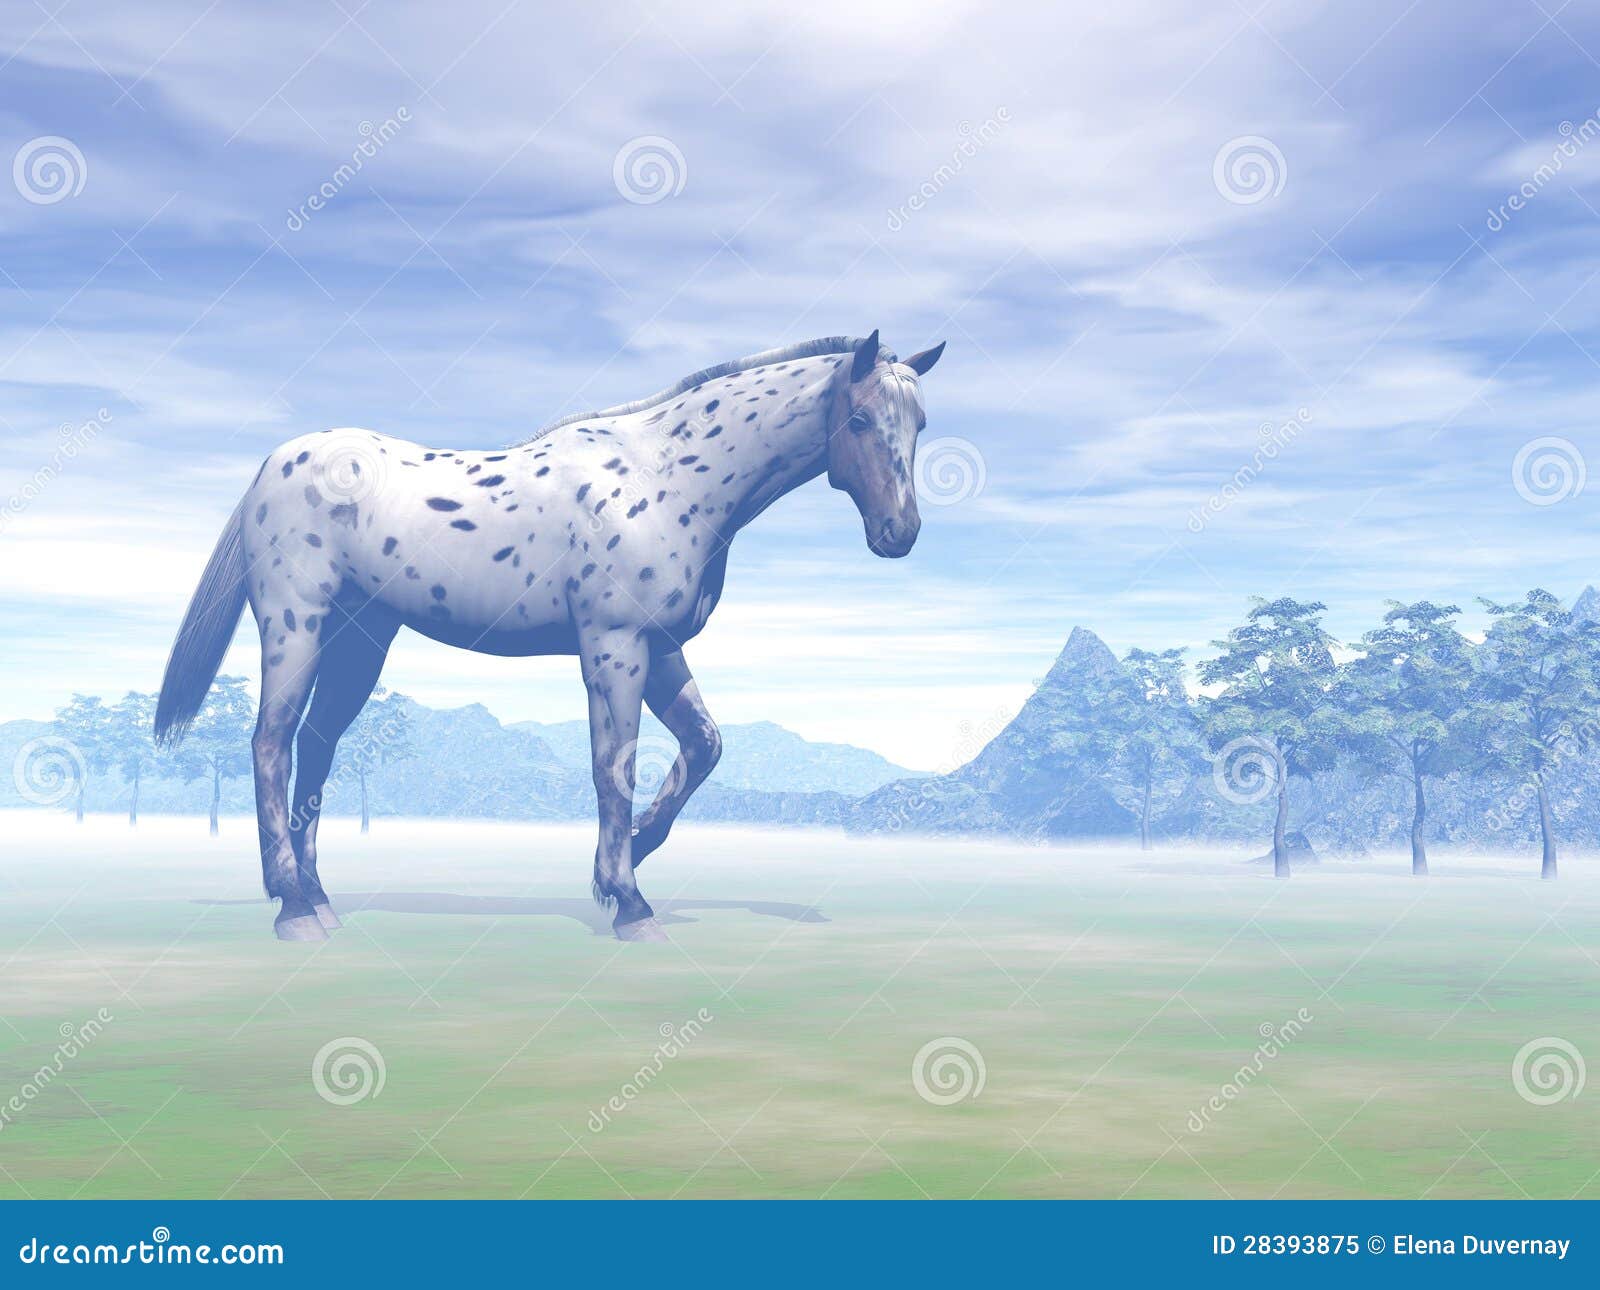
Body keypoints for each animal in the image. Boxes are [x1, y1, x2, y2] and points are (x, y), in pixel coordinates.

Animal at [154, 331, 945, 942]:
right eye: (860, 419)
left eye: (920, 424)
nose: (900, 534)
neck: (670, 477)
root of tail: (275, 466)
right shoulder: (614, 644)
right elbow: (612, 768)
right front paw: (629, 903)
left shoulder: (660, 646)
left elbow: (704, 746)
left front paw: (633, 858)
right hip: (298, 625)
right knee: (271, 742)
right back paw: (291, 907)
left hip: (361, 640)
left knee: (316, 746)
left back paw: (319, 898)